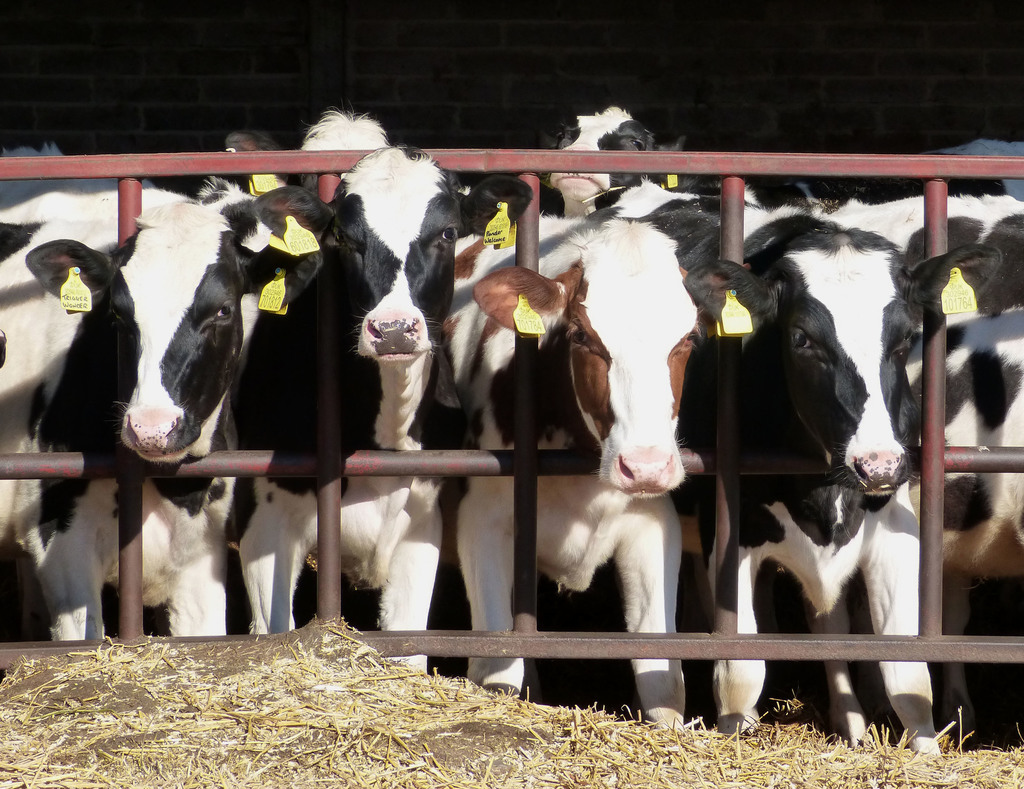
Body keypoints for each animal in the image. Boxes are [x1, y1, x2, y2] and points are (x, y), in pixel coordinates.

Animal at [233, 144, 533, 675]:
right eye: (346, 239)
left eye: (447, 233)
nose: (393, 329)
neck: (384, 436)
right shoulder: (264, 521)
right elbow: (274, 629)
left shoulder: (420, 525)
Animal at [678, 210, 1002, 753]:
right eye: (802, 339)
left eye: (904, 338)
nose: (879, 464)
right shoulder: (726, 535)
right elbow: (740, 671)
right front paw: (736, 735)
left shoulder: (895, 530)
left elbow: (907, 675)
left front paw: (925, 751)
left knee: (829, 621)